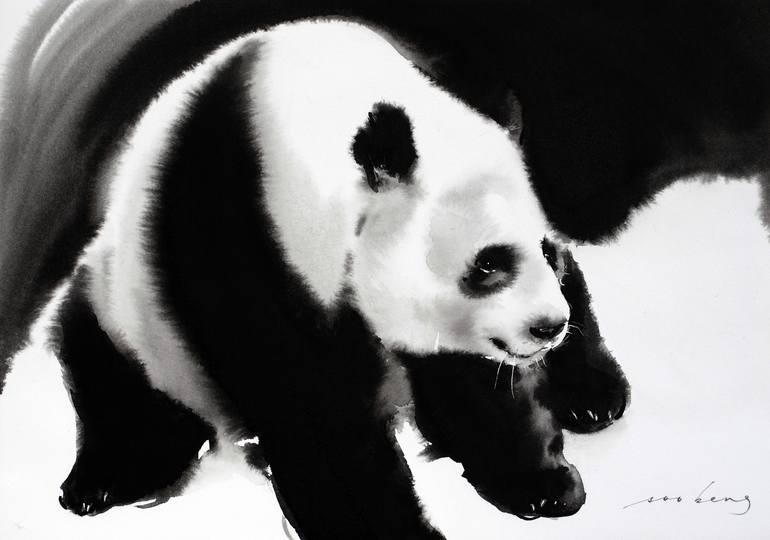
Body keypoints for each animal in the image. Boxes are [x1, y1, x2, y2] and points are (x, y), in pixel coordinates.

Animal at [43, 19, 589, 539]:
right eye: (487, 265)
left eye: (541, 252)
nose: (547, 327)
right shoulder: (243, 254)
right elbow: (317, 419)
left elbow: (475, 377)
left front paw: (543, 485)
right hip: (127, 308)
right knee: (115, 383)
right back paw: (97, 485)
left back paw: (592, 397)